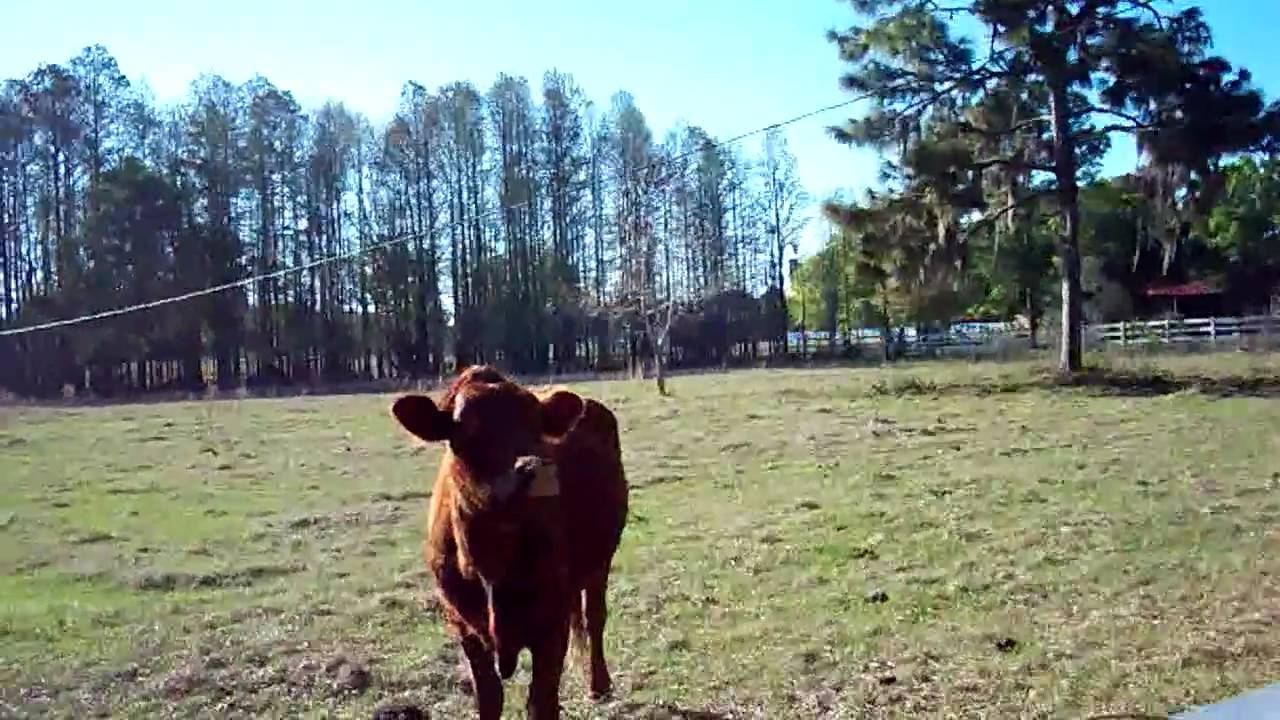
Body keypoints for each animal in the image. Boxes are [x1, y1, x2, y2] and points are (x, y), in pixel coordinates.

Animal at [389, 365, 629, 720]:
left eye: (537, 426)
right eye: (465, 428)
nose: (533, 466)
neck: (493, 563)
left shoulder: (551, 625)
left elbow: (541, 702)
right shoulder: (463, 626)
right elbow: (489, 698)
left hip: (601, 562)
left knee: (594, 618)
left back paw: (599, 685)